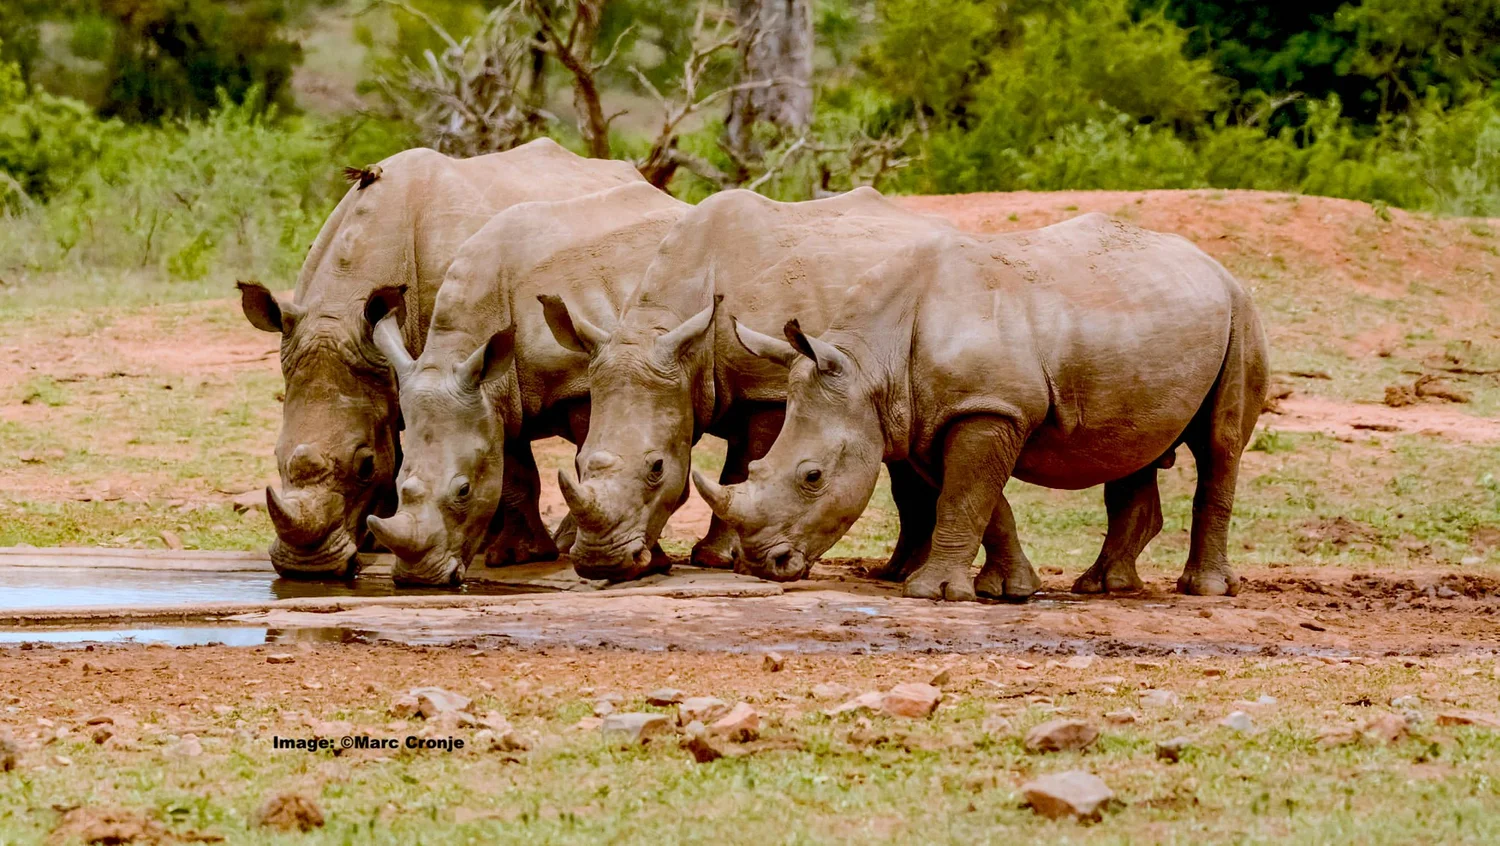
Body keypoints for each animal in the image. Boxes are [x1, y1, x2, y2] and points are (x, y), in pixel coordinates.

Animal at [367, 182, 688, 585]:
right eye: (398, 486)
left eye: (463, 490)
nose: (417, 578)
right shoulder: (495, 395)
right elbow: (515, 475)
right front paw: (520, 556)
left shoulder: (582, 383)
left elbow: (603, 457)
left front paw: (644, 562)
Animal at [541, 187, 957, 582]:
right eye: (579, 462)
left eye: (656, 468)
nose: (600, 563)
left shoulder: (769, 390)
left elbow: (743, 466)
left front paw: (717, 558)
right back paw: (897, 572)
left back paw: (904, 574)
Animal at [695, 213, 1269, 600]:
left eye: (812, 477)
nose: (761, 564)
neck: (871, 363)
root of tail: (1213, 264)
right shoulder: (937, 419)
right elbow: (981, 502)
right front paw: (1009, 590)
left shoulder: (988, 409)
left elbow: (964, 496)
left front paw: (931, 593)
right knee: (1130, 447)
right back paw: (1104, 587)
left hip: (1241, 313)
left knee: (1219, 444)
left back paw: (1203, 589)